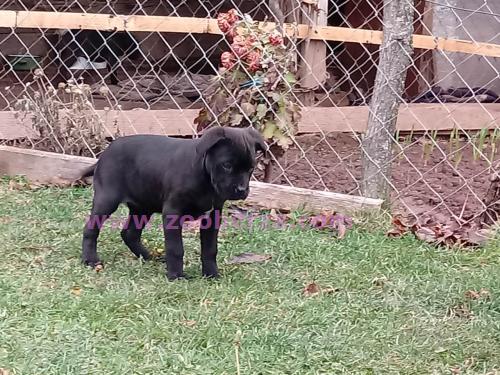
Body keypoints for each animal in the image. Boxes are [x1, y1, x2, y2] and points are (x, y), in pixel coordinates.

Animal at [80, 128, 268, 280]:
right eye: (227, 165)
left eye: (251, 168)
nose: (241, 189)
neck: (204, 176)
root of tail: (104, 154)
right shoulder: (173, 213)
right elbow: (176, 248)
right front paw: (176, 276)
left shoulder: (212, 217)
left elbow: (210, 249)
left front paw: (211, 274)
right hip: (107, 200)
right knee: (91, 229)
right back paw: (90, 260)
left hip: (143, 207)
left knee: (129, 234)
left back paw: (148, 256)